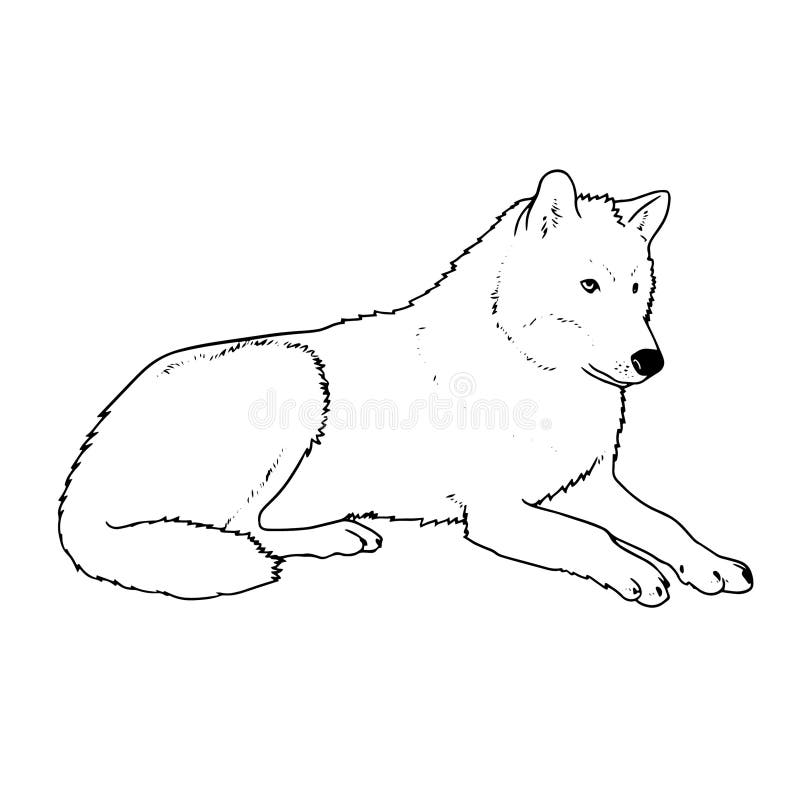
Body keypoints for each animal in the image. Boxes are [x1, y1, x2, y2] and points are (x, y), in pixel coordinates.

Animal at [59, 170, 752, 605]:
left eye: (637, 289)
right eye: (588, 286)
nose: (650, 361)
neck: (530, 367)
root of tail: (84, 465)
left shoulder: (588, 485)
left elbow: (666, 523)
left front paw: (710, 564)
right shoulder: (498, 514)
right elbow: (595, 537)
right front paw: (637, 572)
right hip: (296, 375)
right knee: (240, 529)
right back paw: (334, 537)